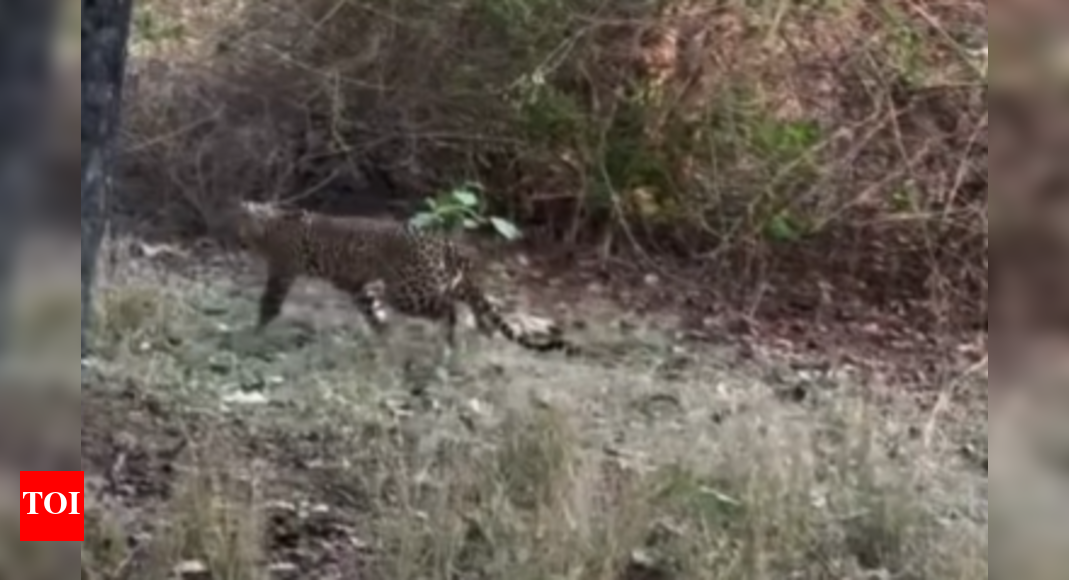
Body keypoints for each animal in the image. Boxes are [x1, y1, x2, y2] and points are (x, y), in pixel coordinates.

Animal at [230, 199, 570, 354]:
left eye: (243, 221)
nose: (236, 235)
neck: (268, 224)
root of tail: (442, 240)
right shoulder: (359, 286)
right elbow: (372, 312)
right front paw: (383, 338)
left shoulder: (282, 271)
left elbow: (268, 304)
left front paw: (252, 334)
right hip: (437, 280)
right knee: (473, 300)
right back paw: (482, 330)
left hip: (408, 290)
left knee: (448, 309)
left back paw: (452, 341)